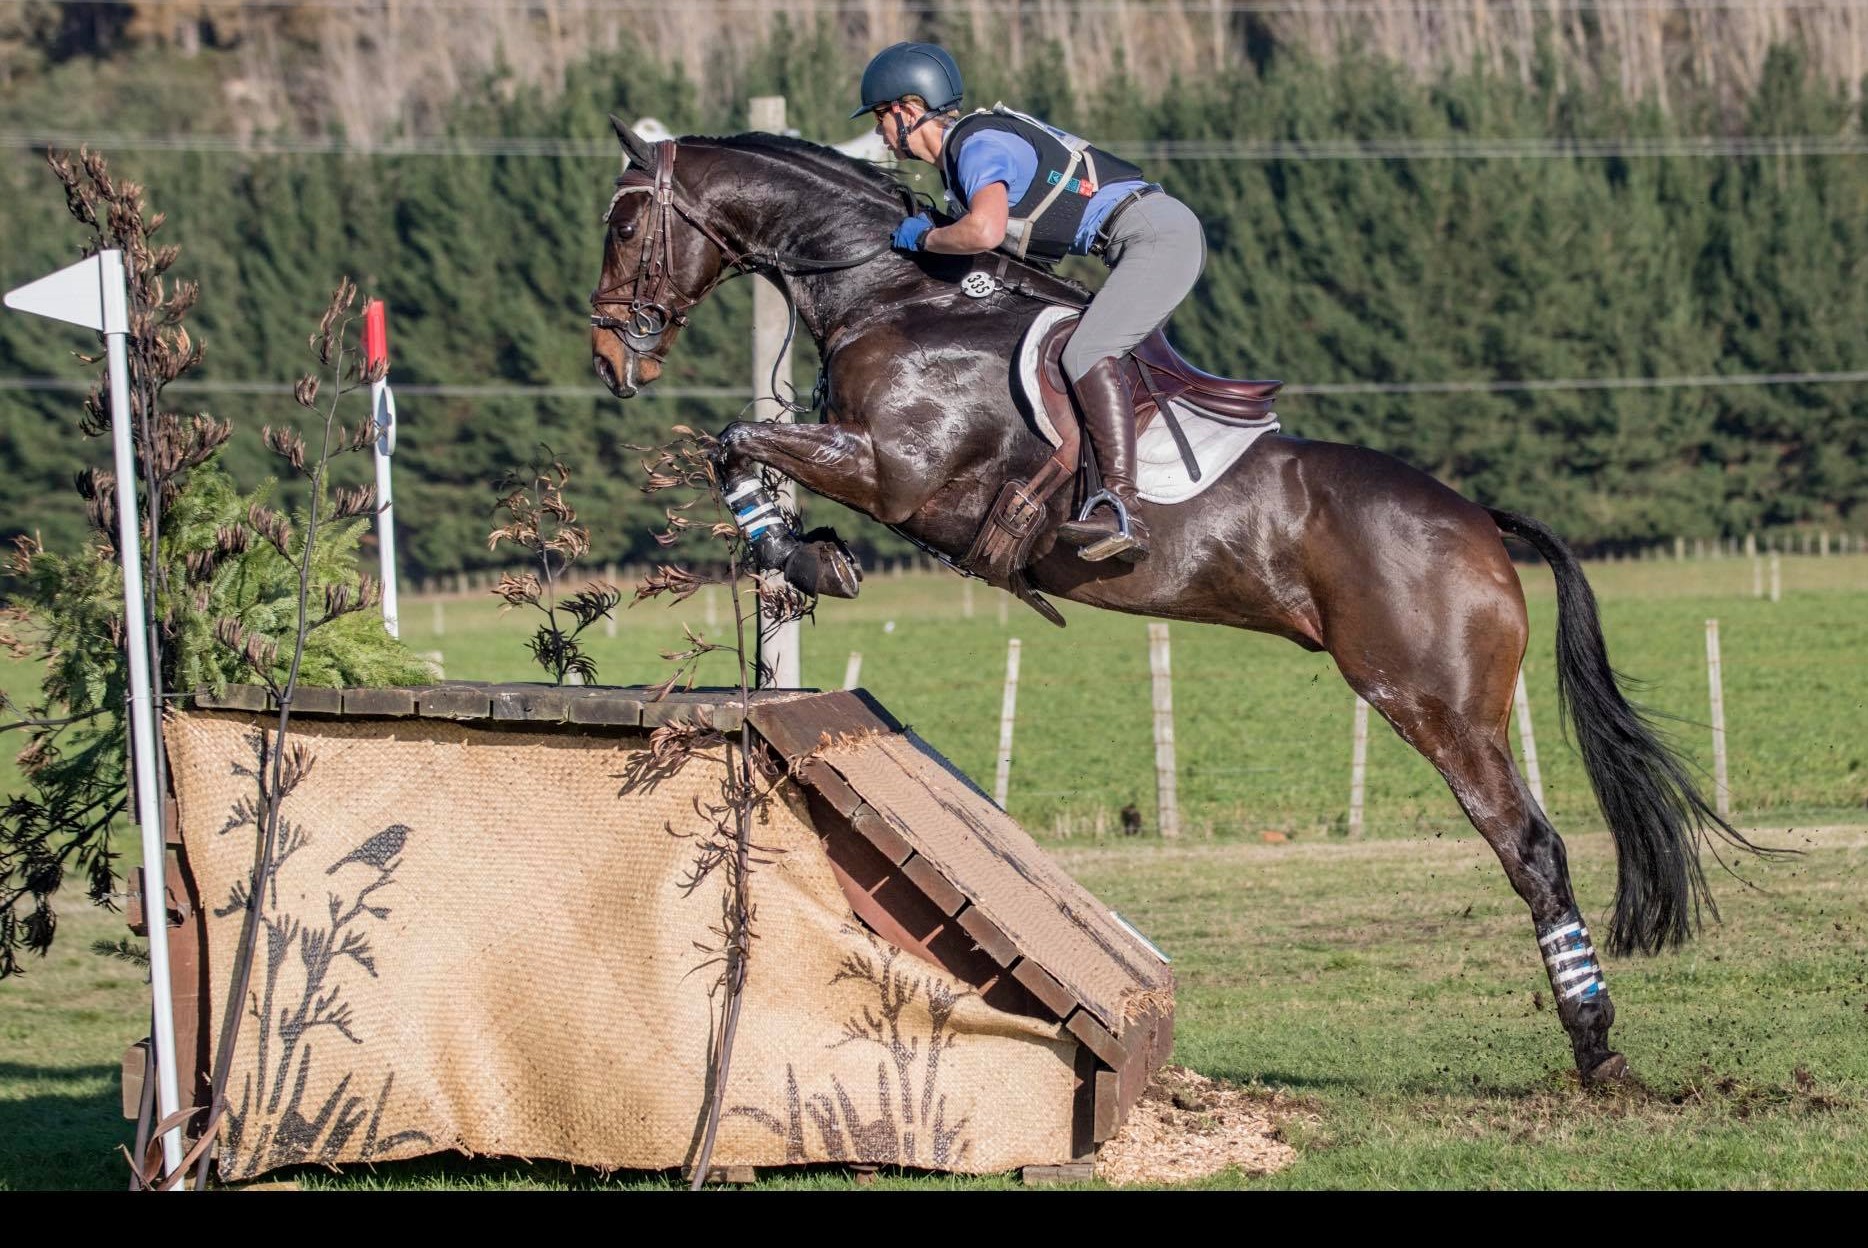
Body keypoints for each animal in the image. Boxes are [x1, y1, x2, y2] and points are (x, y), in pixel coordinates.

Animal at [589, 119, 1765, 1085]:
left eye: (624, 224)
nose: (608, 358)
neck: (897, 292)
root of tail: (1478, 520)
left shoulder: (896, 471)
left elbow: (736, 441)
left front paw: (804, 553)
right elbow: (737, 447)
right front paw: (806, 555)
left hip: (1434, 705)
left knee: (1531, 849)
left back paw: (1596, 1047)